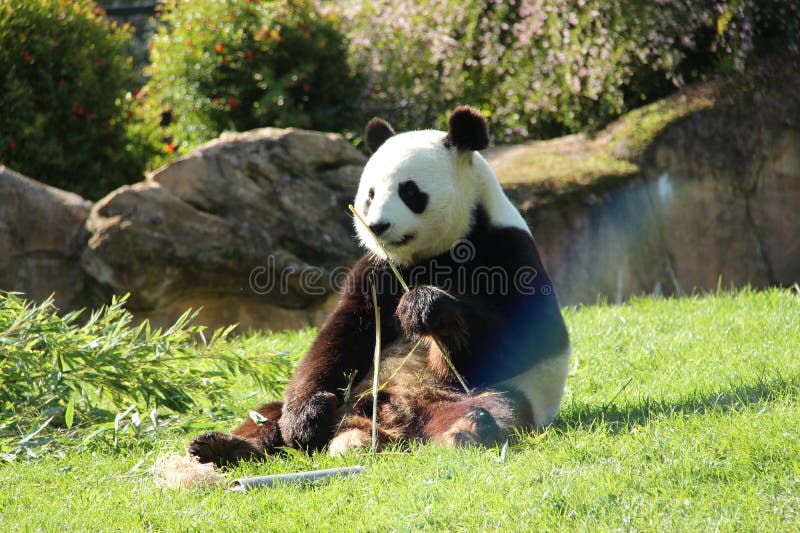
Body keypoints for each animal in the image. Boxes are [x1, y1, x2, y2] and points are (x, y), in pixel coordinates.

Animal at [189, 107, 571, 466]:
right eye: (370, 194)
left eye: (410, 191)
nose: (377, 226)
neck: (434, 253)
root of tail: (379, 424)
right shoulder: (377, 269)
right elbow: (340, 336)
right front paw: (304, 418)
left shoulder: (508, 252)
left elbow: (516, 339)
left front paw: (425, 308)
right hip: (342, 400)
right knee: (268, 414)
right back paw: (224, 446)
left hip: (487, 397)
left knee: (494, 408)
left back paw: (465, 431)